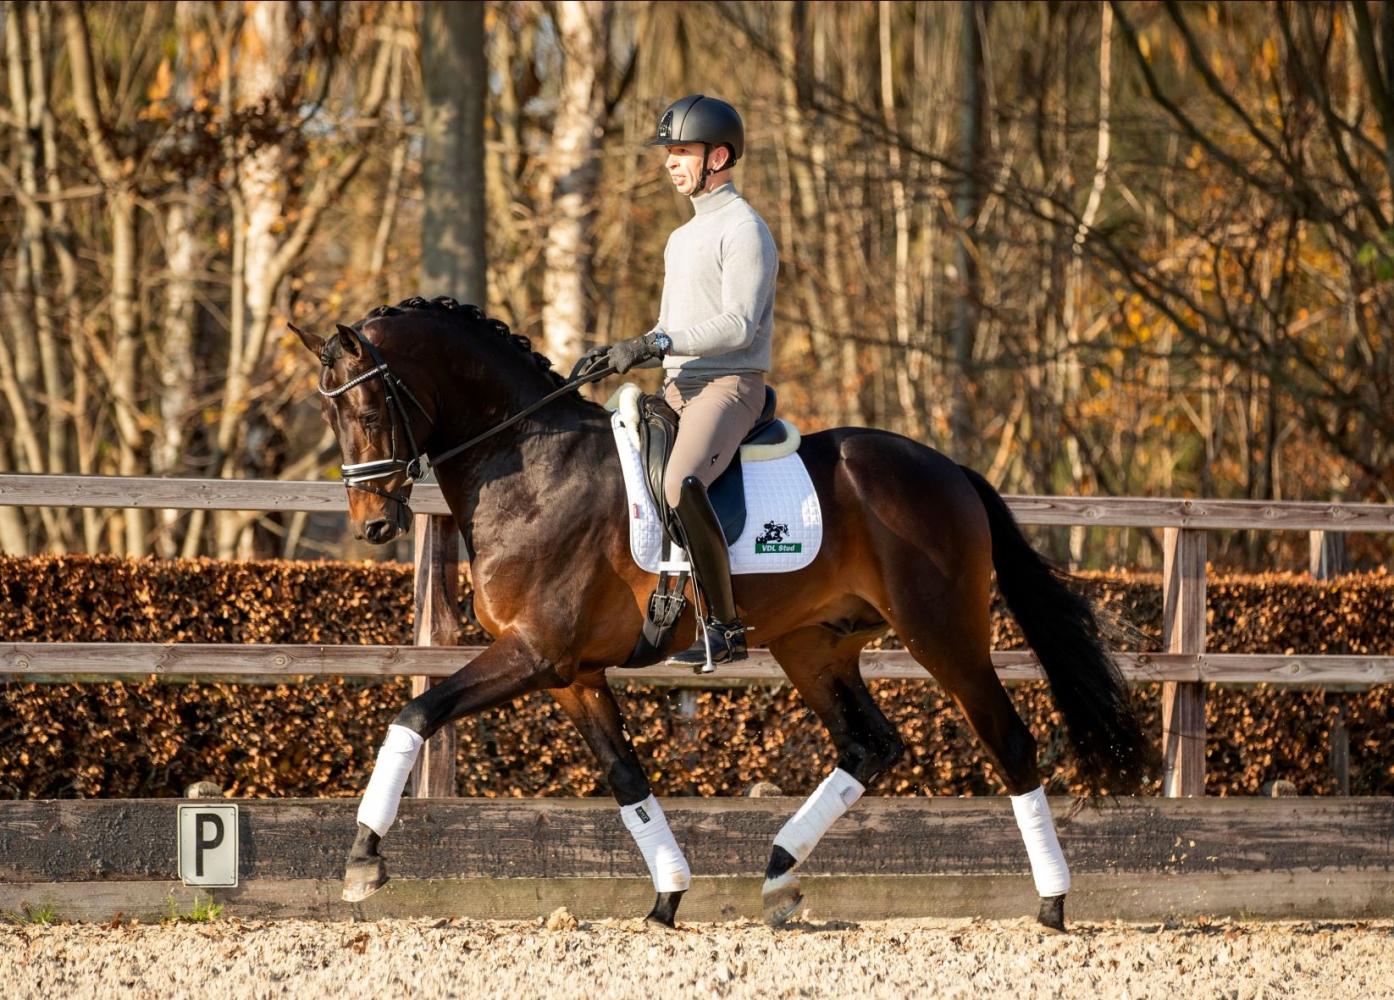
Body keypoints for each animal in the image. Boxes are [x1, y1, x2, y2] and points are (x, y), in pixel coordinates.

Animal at [293, 296, 1151, 932]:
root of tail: (948, 470)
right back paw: (777, 875)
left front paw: (363, 860)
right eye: (329, 415)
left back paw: (1051, 905)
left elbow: (414, 713)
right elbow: (625, 776)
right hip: (814, 645)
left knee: (1009, 740)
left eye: (369, 406)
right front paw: (668, 897)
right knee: (869, 744)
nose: (374, 524)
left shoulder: (534, 654)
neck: (531, 467)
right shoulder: (570, 673)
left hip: (943, 634)